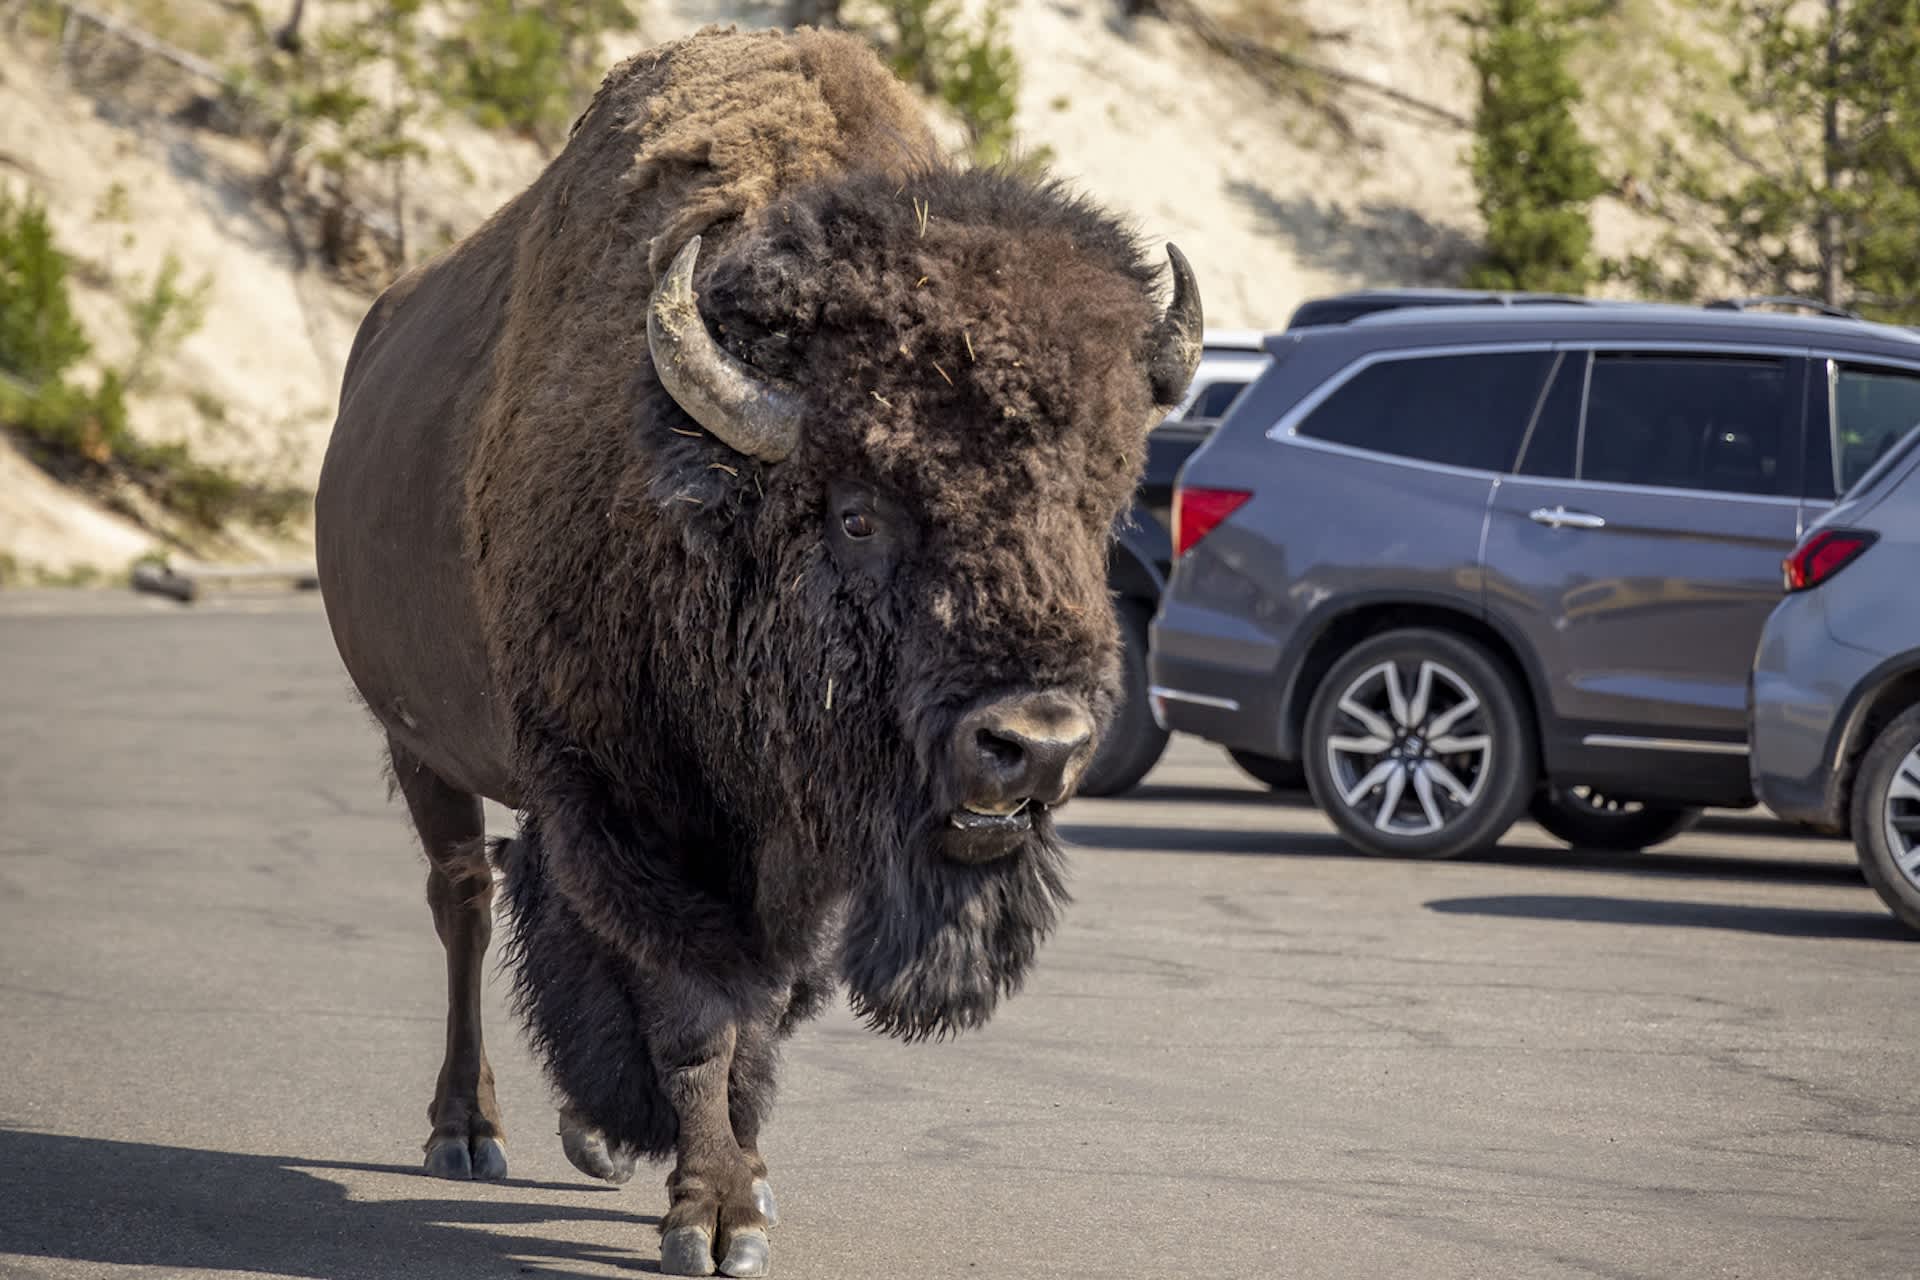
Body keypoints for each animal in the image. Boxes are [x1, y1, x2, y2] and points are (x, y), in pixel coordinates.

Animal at [313, 24, 1201, 1277]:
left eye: (1102, 501)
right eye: (860, 512)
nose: (1034, 742)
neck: (709, 502)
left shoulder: (801, 853)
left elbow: (761, 1004)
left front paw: (728, 1164)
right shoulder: (635, 810)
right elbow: (698, 1004)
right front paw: (715, 1218)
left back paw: (589, 1127)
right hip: (420, 740)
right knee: (465, 897)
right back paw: (466, 1129)